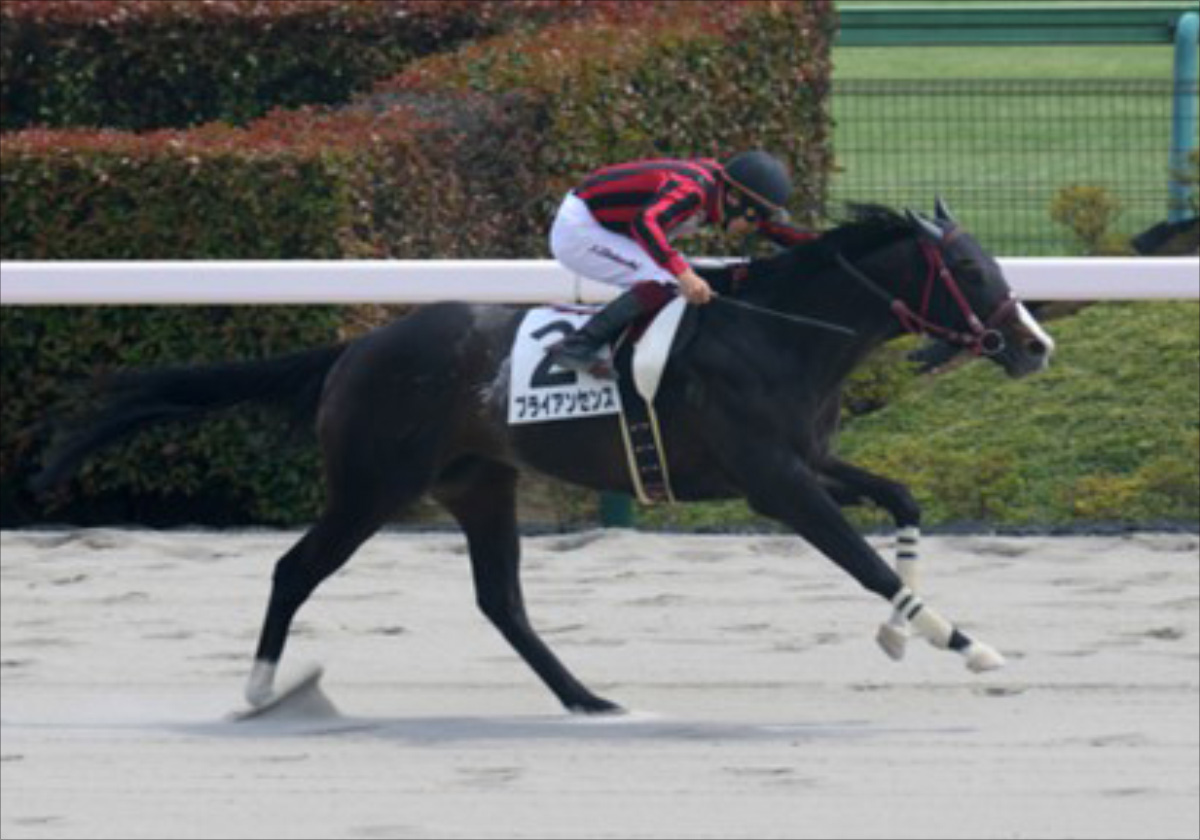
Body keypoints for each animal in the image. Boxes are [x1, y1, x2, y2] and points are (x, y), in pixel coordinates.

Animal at [33, 201, 1056, 714]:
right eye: (972, 272)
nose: (1035, 344)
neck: (779, 331)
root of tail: (355, 348)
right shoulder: (775, 484)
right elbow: (863, 559)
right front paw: (968, 645)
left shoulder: (803, 459)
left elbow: (903, 500)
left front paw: (902, 633)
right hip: (372, 485)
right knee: (294, 569)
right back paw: (255, 691)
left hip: (479, 483)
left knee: (501, 601)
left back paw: (589, 699)